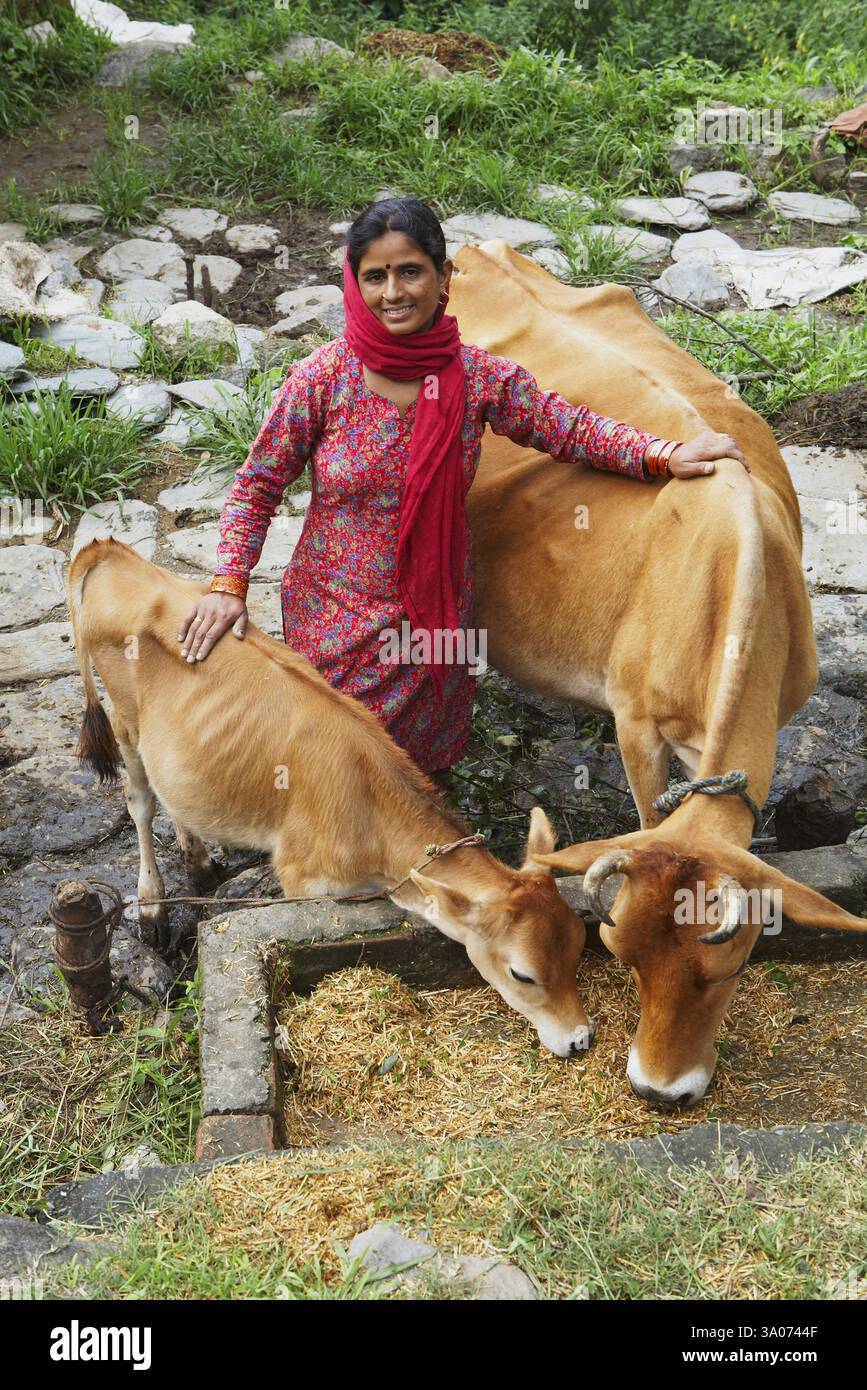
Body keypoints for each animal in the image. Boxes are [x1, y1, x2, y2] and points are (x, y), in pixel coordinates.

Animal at [67, 536, 592, 1057]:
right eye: (522, 974)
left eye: (577, 944)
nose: (580, 1038)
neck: (372, 814)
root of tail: (112, 551)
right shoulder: (302, 880)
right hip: (126, 724)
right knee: (141, 802)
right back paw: (152, 907)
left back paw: (197, 862)